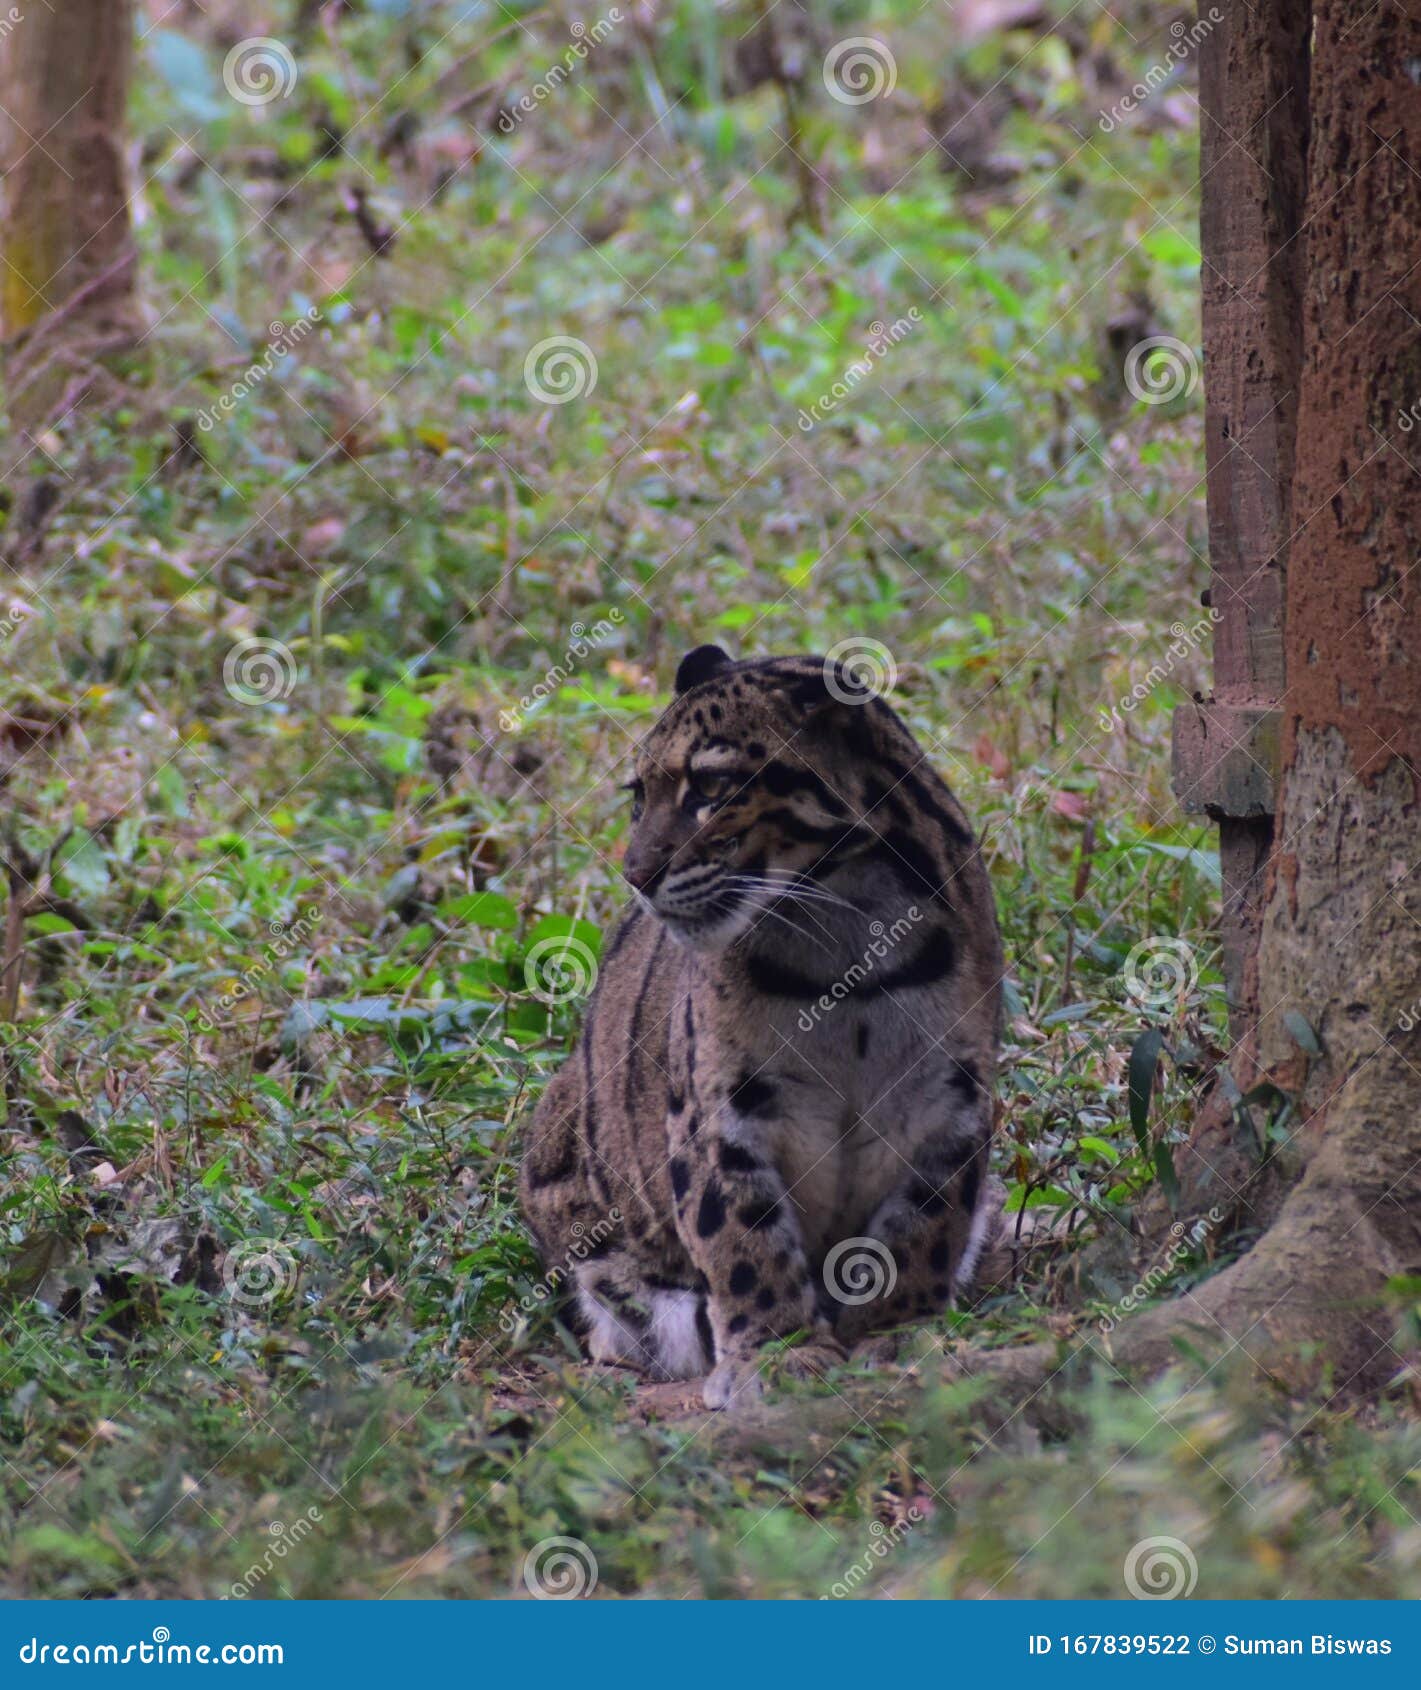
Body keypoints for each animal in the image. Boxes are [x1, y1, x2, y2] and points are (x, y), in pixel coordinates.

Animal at [519, 644, 1003, 1408]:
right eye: (638, 796)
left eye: (711, 788)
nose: (634, 875)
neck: (844, 924)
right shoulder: (718, 1111)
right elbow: (743, 1238)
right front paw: (778, 1355)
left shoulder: (951, 1095)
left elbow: (928, 1224)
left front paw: (901, 1332)